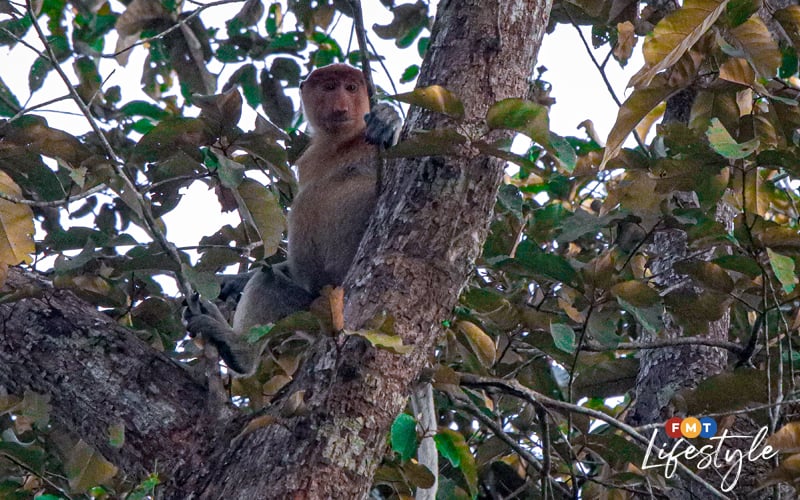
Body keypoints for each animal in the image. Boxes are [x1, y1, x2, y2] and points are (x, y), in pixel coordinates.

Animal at [185, 63, 401, 376]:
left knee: (267, 281)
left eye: (351, 88)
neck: (340, 142)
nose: (341, 106)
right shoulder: (308, 159)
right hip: (310, 312)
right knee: (270, 282)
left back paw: (239, 352)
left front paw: (388, 120)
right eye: (329, 87)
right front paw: (232, 282)